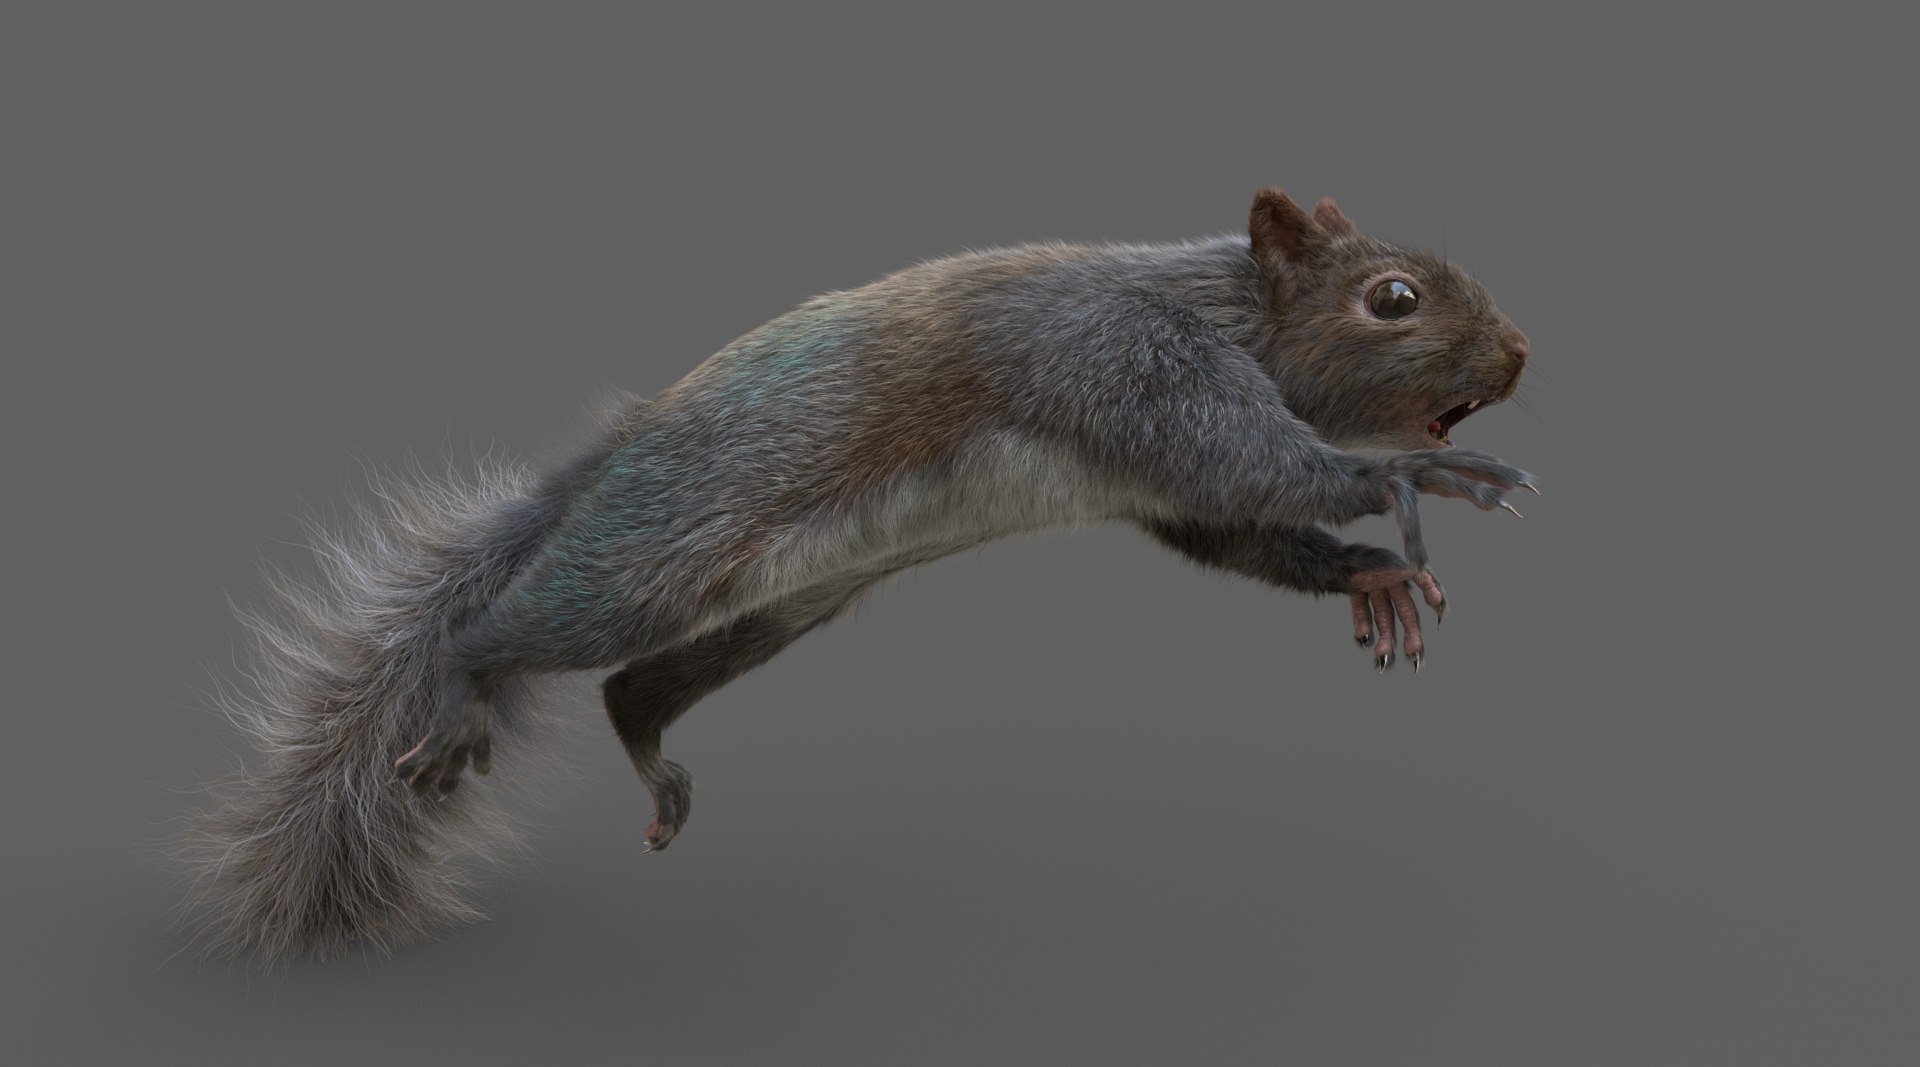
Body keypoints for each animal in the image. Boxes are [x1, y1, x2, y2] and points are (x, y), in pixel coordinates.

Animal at [179, 187, 1535, 960]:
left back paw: (648, 747)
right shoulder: (1128, 364)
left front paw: (1367, 574)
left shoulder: (1155, 475)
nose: (1522, 351)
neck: (1226, 303)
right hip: (664, 552)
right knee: (515, 630)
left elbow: (1232, 525)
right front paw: (1408, 481)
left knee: (633, 686)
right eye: (1393, 298)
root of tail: (609, 457)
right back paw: (465, 685)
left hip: (777, 605)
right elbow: (1254, 463)